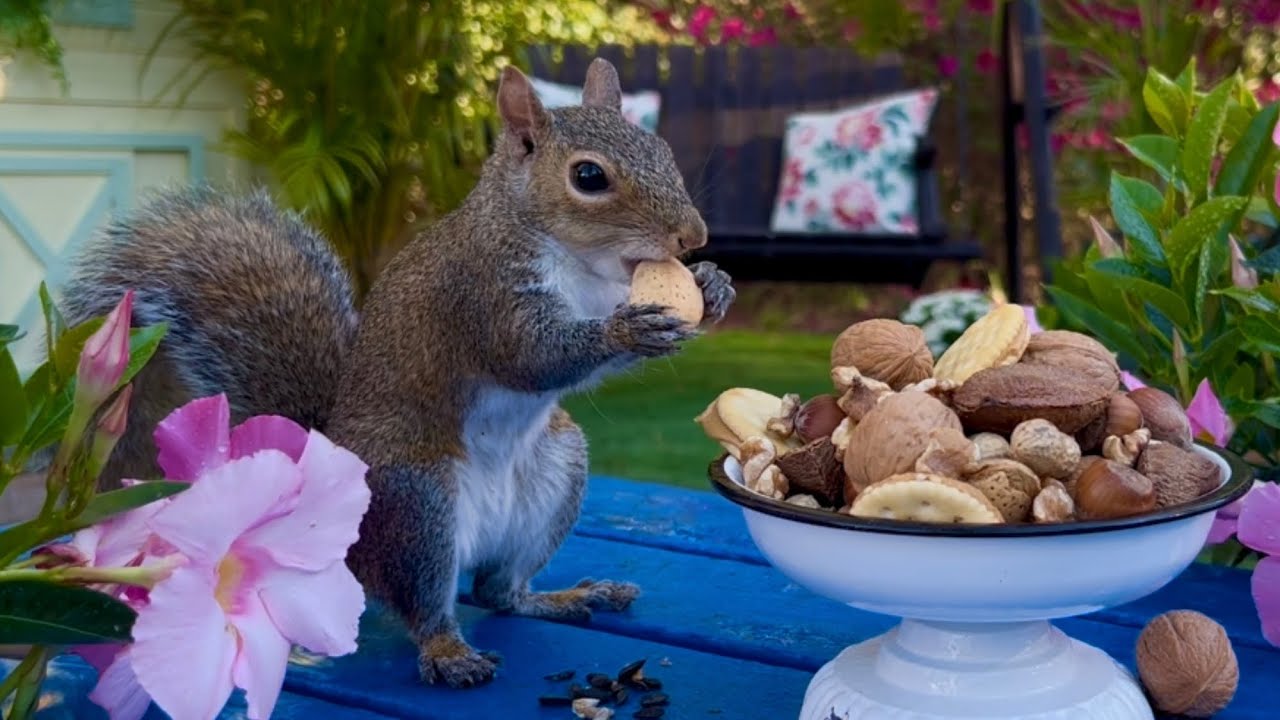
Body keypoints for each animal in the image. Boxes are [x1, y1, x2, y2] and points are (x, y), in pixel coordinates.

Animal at [55, 57, 736, 689]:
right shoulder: (482, 294)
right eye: (588, 176)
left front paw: (712, 286)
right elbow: (532, 357)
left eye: (661, 149)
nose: (693, 236)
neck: (578, 262)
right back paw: (450, 653)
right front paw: (628, 332)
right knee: (427, 606)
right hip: (418, 506)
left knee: (499, 591)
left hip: (556, 469)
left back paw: (565, 597)